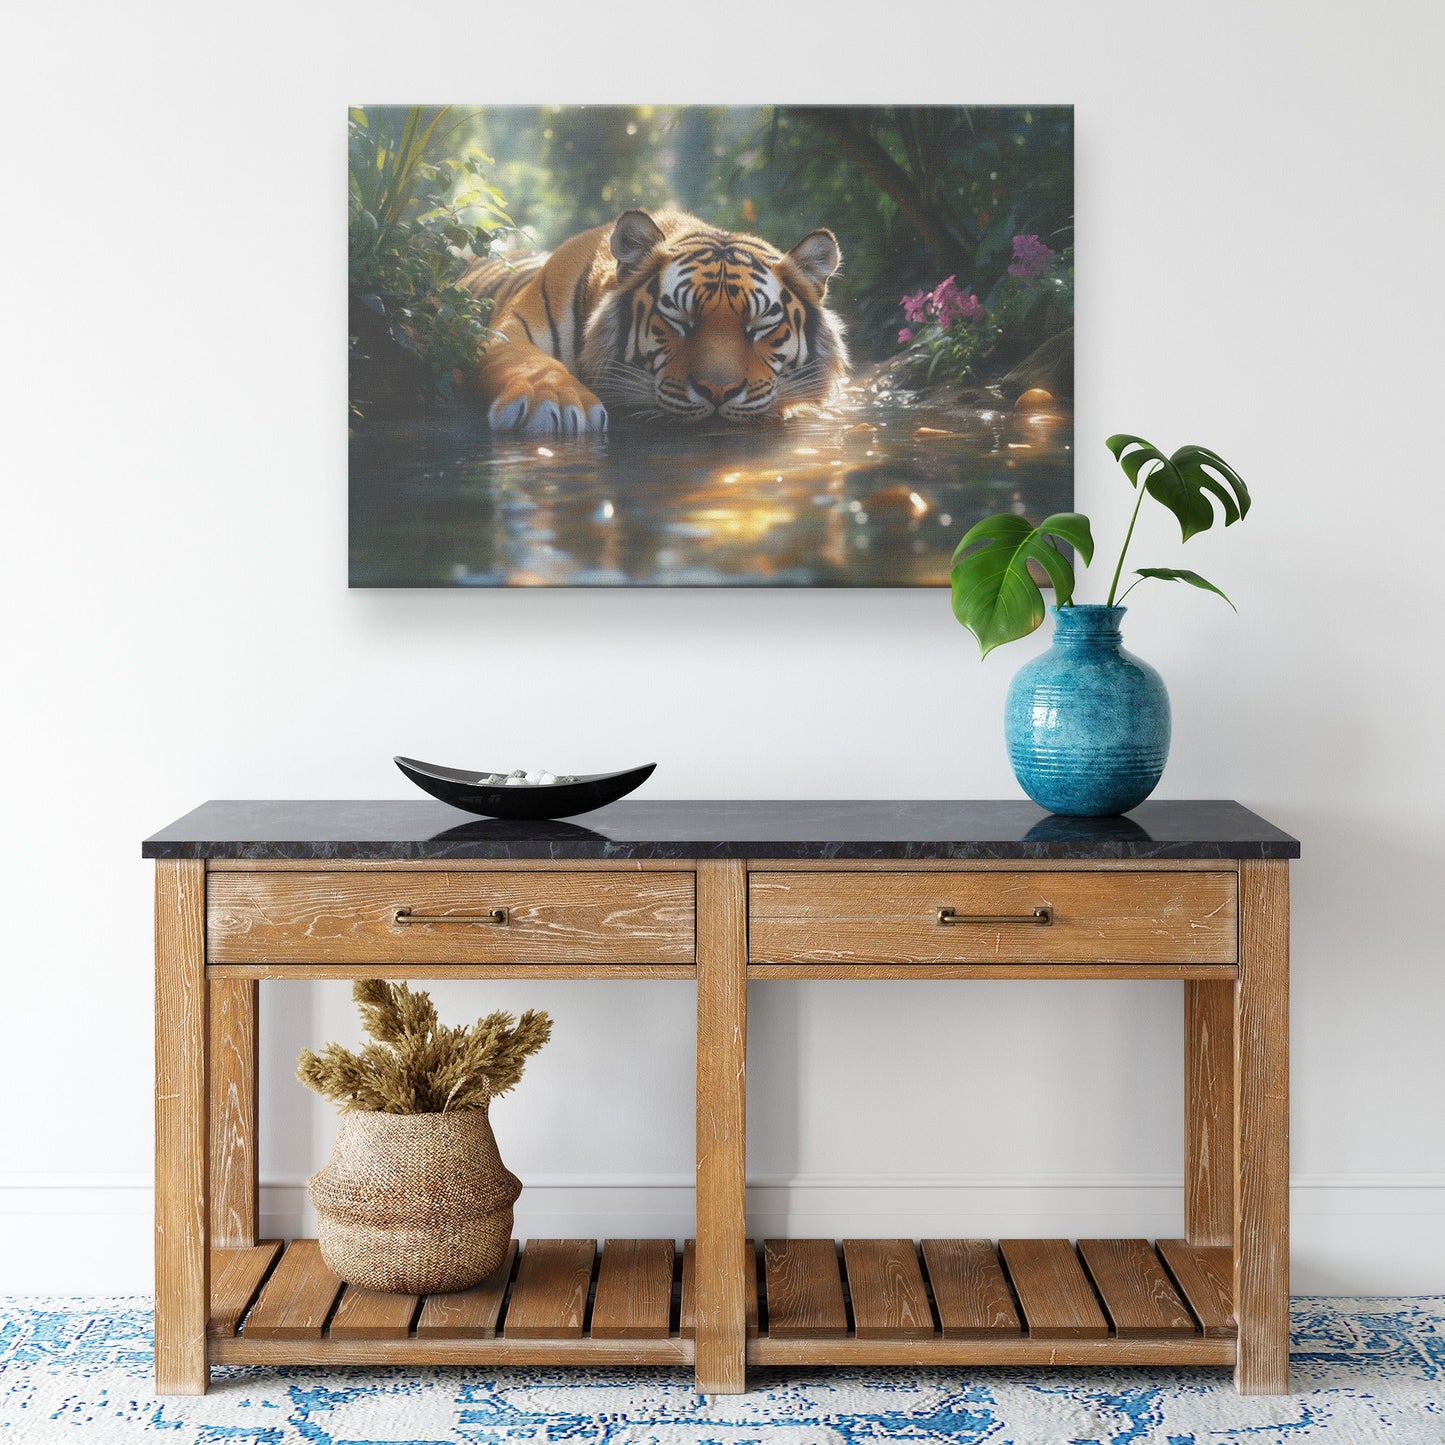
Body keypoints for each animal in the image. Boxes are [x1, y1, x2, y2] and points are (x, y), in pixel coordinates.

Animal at [459, 209, 847, 434]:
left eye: (761, 326)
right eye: (679, 320)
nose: (718, 391)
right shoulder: (510, 333)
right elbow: (532, 363)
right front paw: (553, 402)